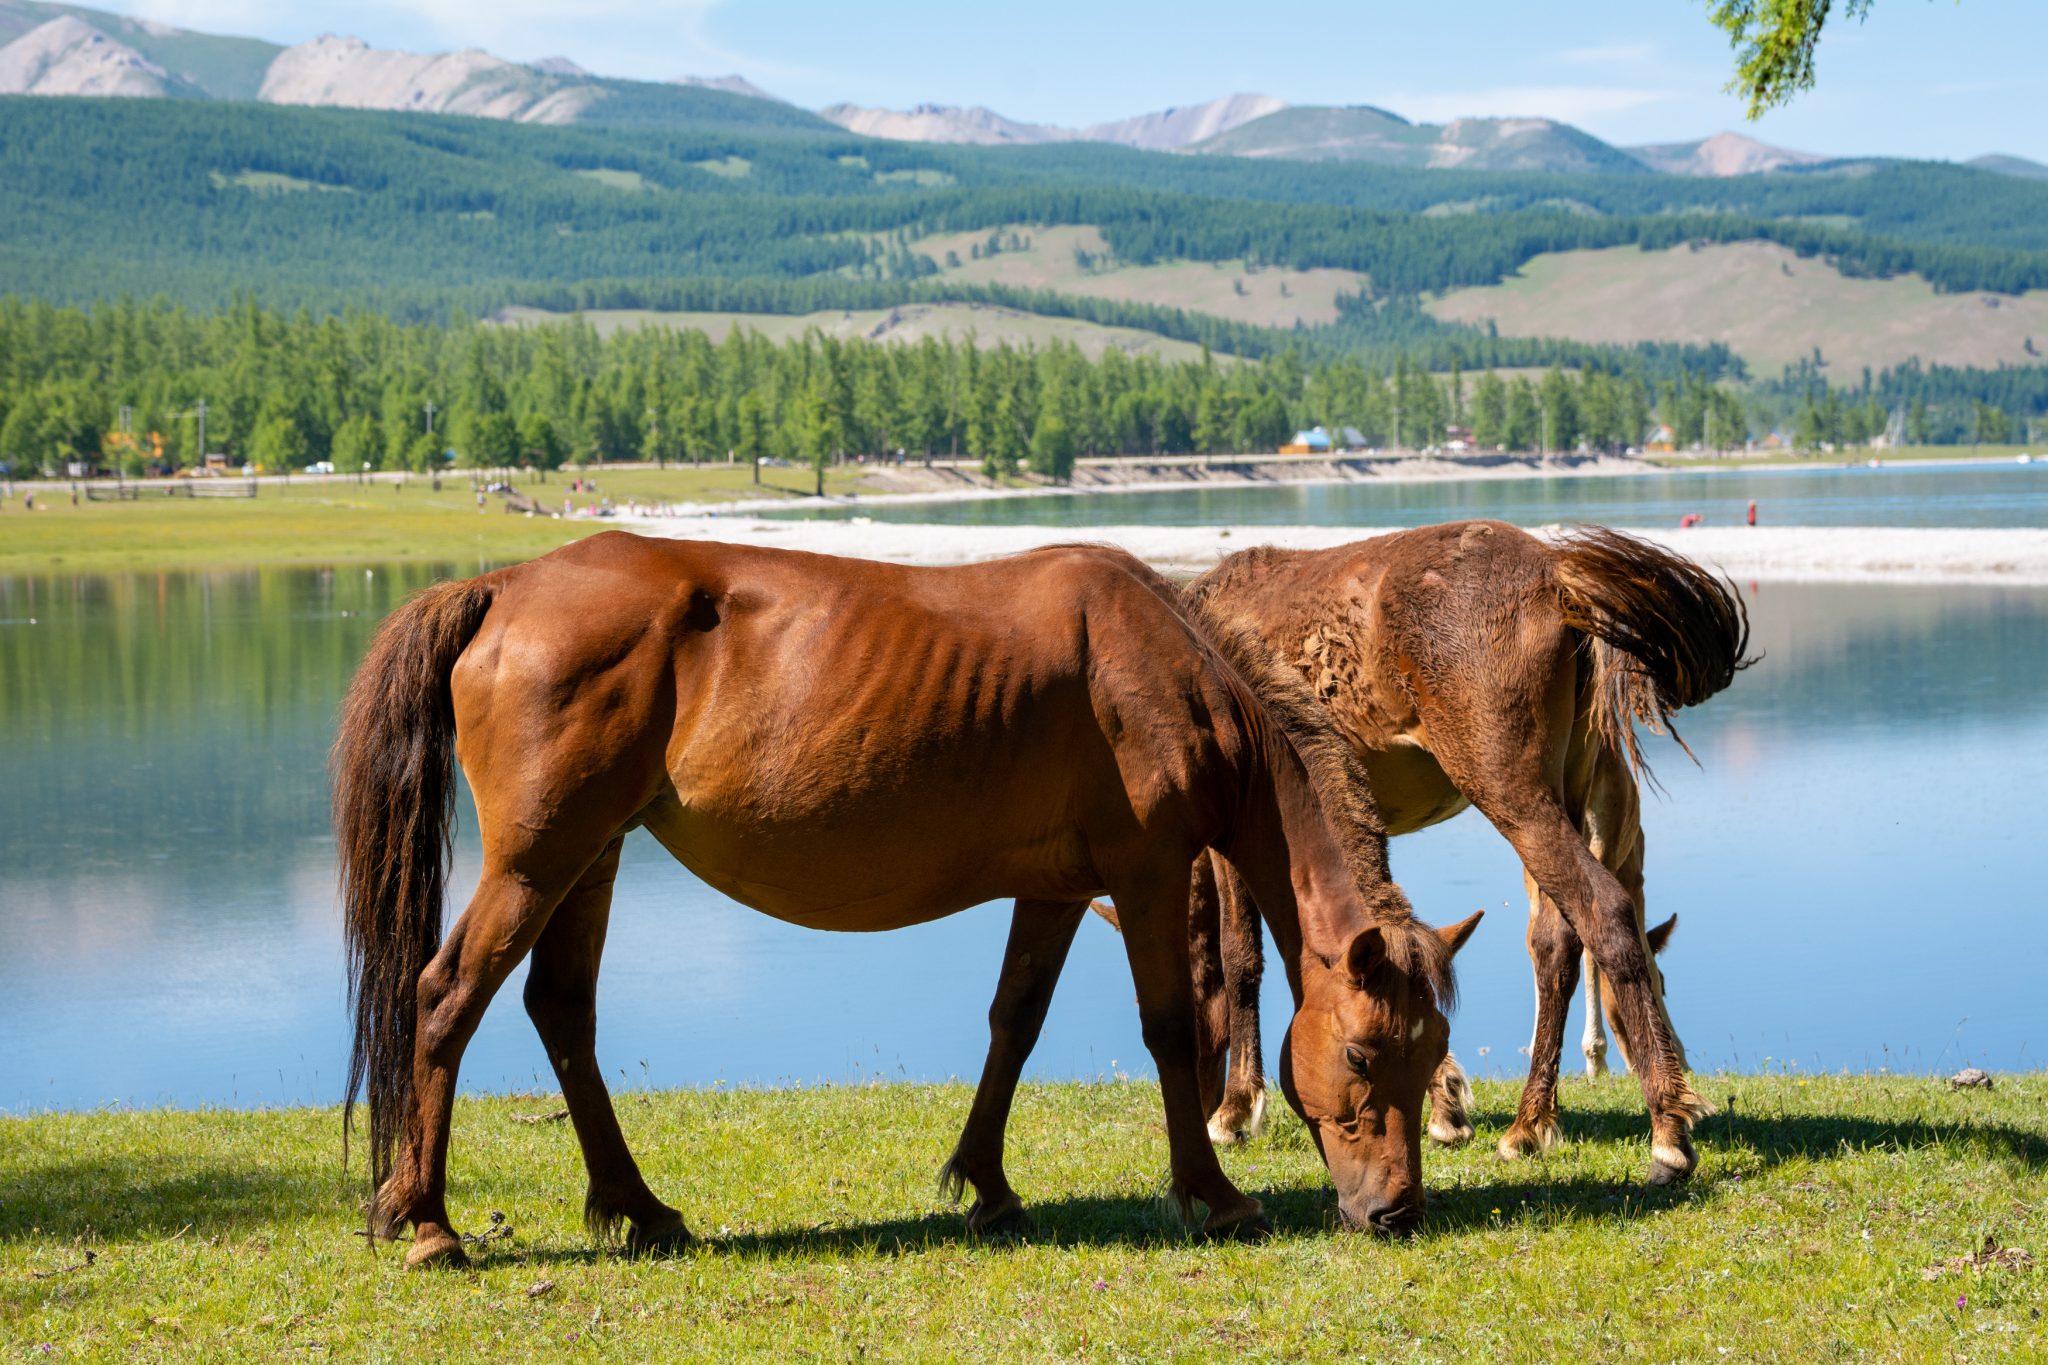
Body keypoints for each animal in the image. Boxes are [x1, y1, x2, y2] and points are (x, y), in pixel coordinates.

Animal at [332, 531, 1482, 1266]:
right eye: (1362, 1054)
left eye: (1430, 1052)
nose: (1395, 1211)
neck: (1169, 668)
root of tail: (502, 587)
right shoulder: (1148, 872)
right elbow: (1165, 1032)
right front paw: (1212, 1195)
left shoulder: (1056, 890)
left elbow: (1014, 1023)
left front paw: (988, 1187)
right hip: (537, 863)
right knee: (444, 999)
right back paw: (426, 1224)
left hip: (593, 856)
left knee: (561, 1013)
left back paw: (641, 1209)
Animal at [1143, 521, 1750, 1184]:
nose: (1197, 1093)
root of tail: (1556, 580)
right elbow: (1398, 947)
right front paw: (1441, 1103)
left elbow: (1240, 957)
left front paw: (1234, 1110)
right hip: (1562, 790)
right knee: (1556, 943)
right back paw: (1529, 1125)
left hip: (1508, 788)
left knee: (1605, 912)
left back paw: (1668, 1131)